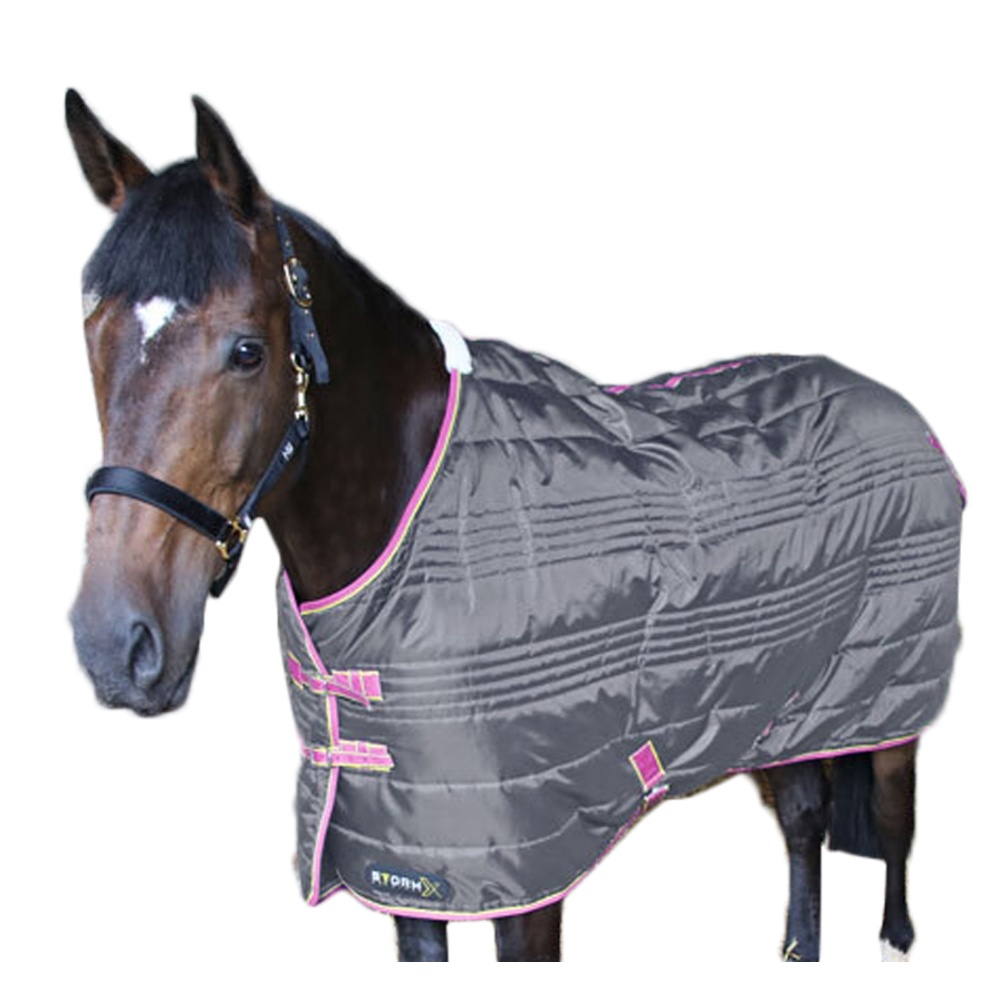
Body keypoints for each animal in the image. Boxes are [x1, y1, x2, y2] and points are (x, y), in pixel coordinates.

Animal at [66, 90, 963, 962]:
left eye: (248, 350)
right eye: (92, 337)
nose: (115, 644)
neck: (412, 507)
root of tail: (901, 410)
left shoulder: (529, 872)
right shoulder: (412, 861)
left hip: (886, 697)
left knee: (891, 819)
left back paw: (895, 940)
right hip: (787, 714)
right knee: (805, 820)